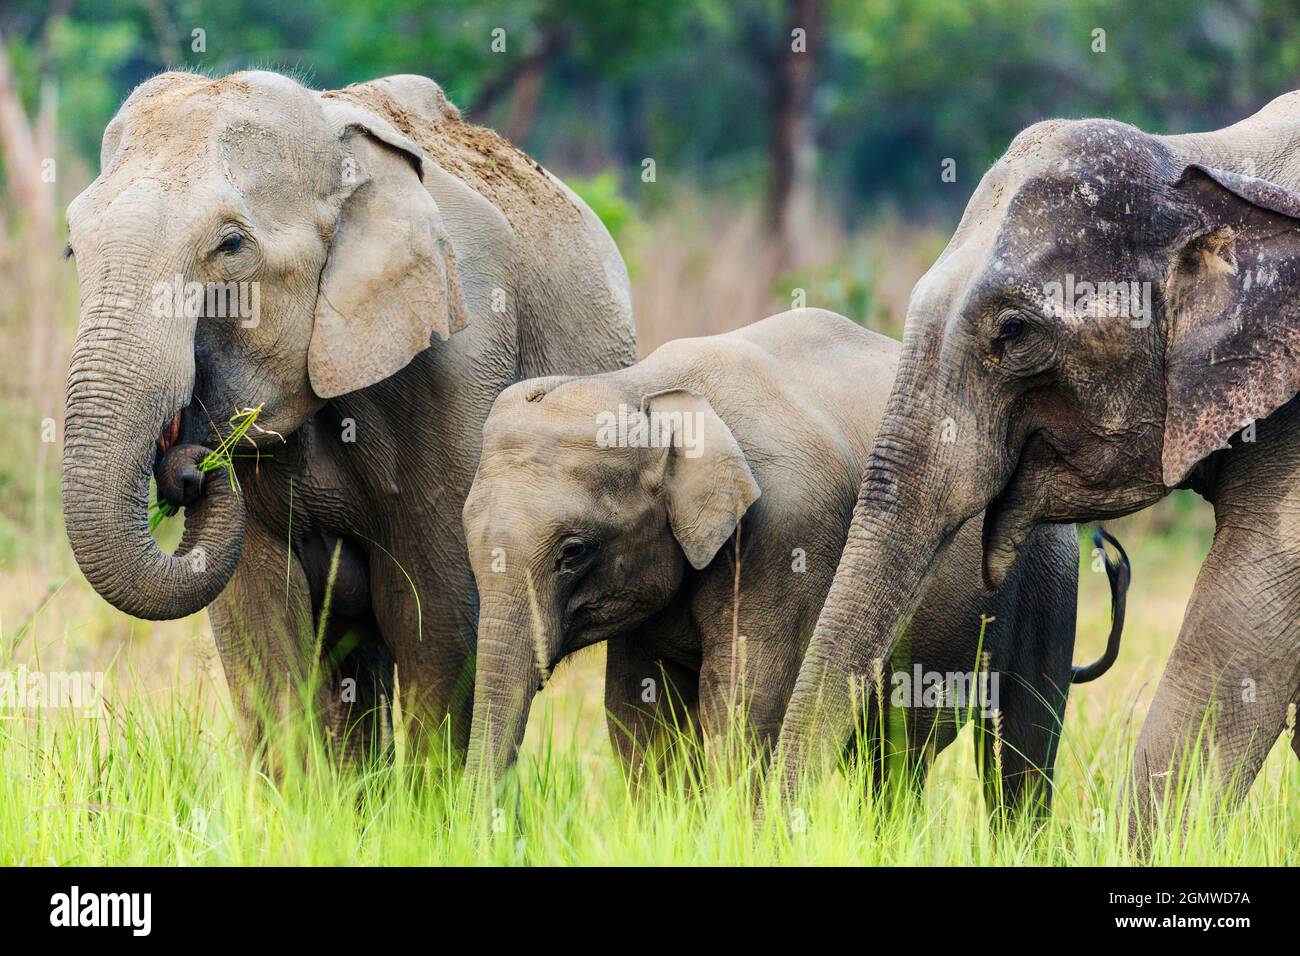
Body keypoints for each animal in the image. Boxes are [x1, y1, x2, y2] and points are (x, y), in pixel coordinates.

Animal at [60, 70, 636, 760]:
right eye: (72, 248)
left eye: (231, 245)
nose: (190, 469)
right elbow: (261, 624)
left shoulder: (460, 366)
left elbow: (441, 620)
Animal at [461, 309, 1127, 822]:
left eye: (574, 551)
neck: (647, 389)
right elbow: (642, 721)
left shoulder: (786, 536)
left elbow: (742, 709)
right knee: (893, 761)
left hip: (1047, 573)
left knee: (1019, 746)